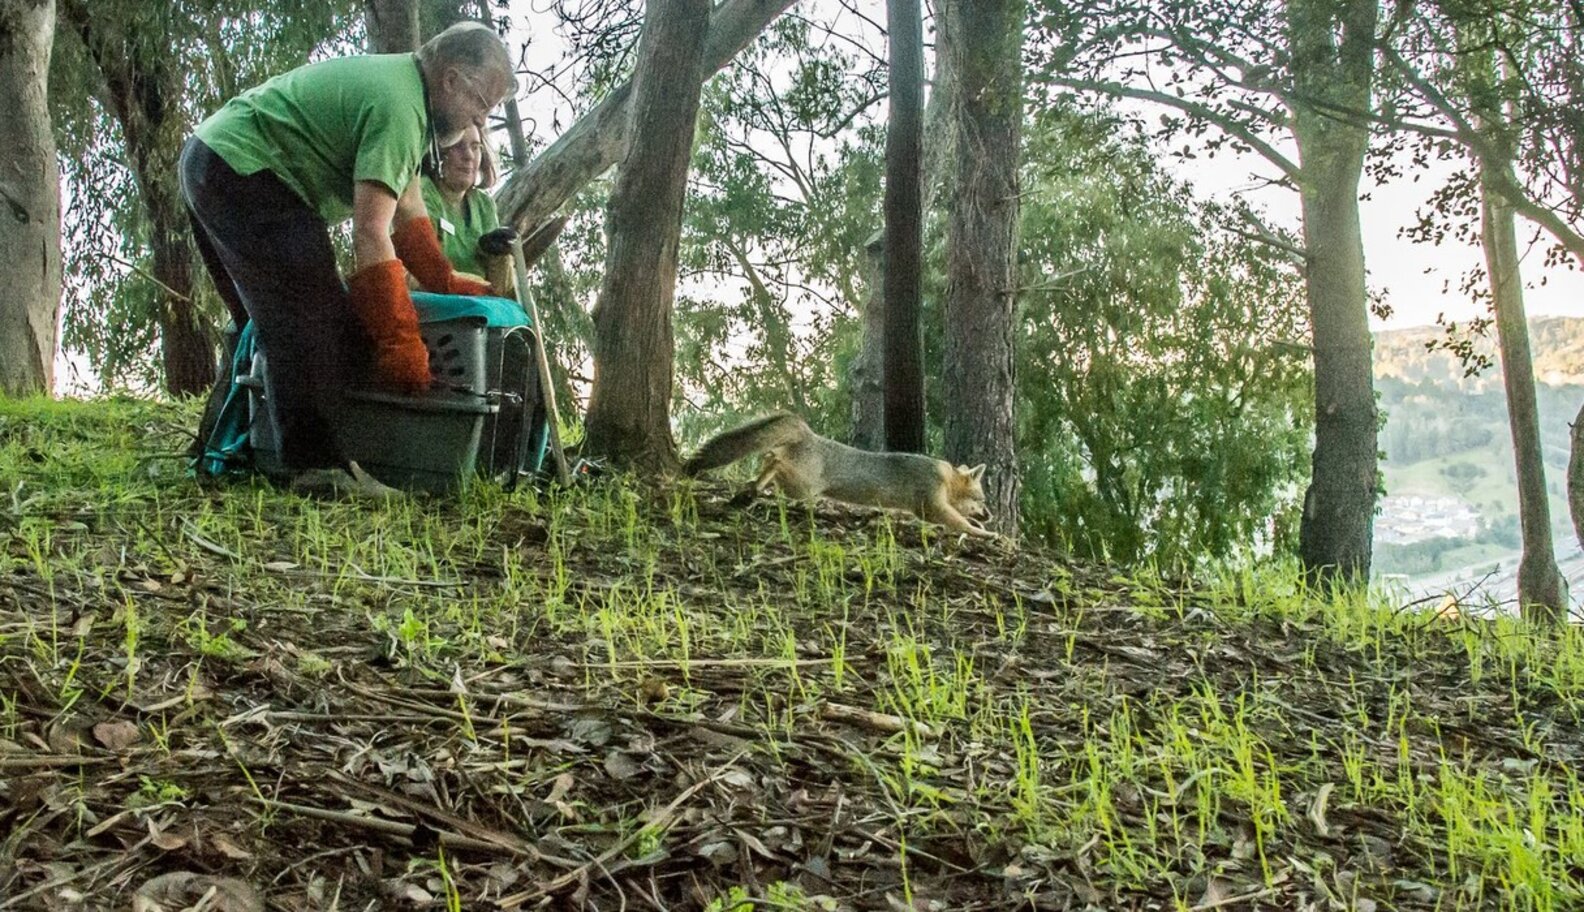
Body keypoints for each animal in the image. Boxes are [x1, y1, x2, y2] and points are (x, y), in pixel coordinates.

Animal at [683, 413, 997, 538]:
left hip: (798, 486)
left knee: (769, 463)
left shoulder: (924, 511)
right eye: (982, 500)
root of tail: (809, 434)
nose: (990, 515)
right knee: (773, 460)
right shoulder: (931, 506)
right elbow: (962, 523)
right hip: (803, 488)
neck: (943, 475)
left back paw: (749, 492)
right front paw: (986, 533)